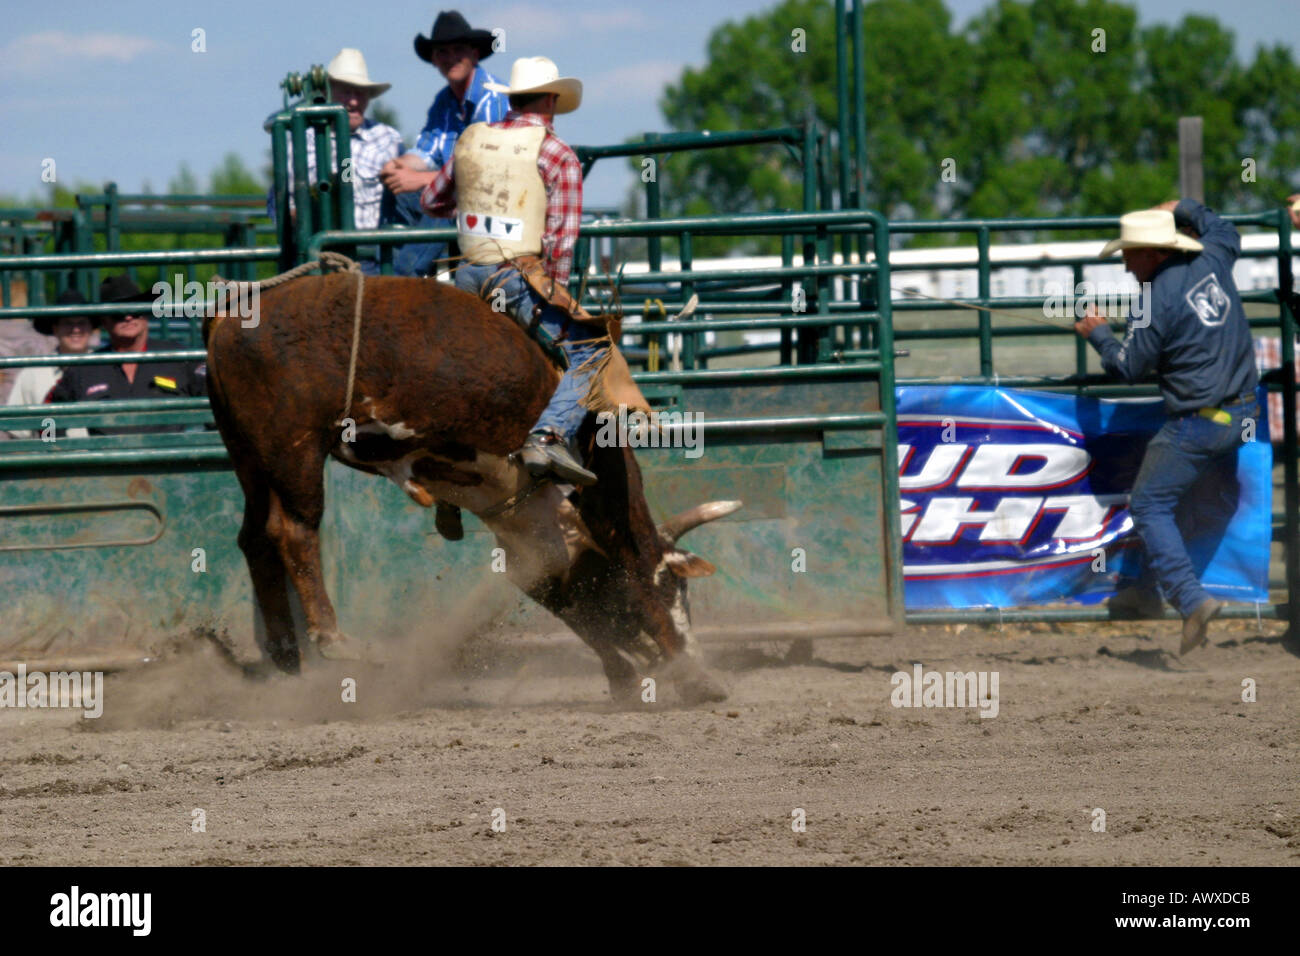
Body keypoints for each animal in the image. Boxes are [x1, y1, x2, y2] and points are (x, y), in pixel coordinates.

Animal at [203, 271, 735, 704]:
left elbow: (571, 608)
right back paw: (337, 642)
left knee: (254, 538)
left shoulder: (531, 547)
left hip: (247, 455)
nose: (694, 655)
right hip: (295, 448)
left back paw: (284, 651)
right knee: (293, 531)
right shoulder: (605, 502)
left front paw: (624, 678)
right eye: (679, 588)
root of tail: (229, 317)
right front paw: (693, 676)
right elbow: (637, 571)